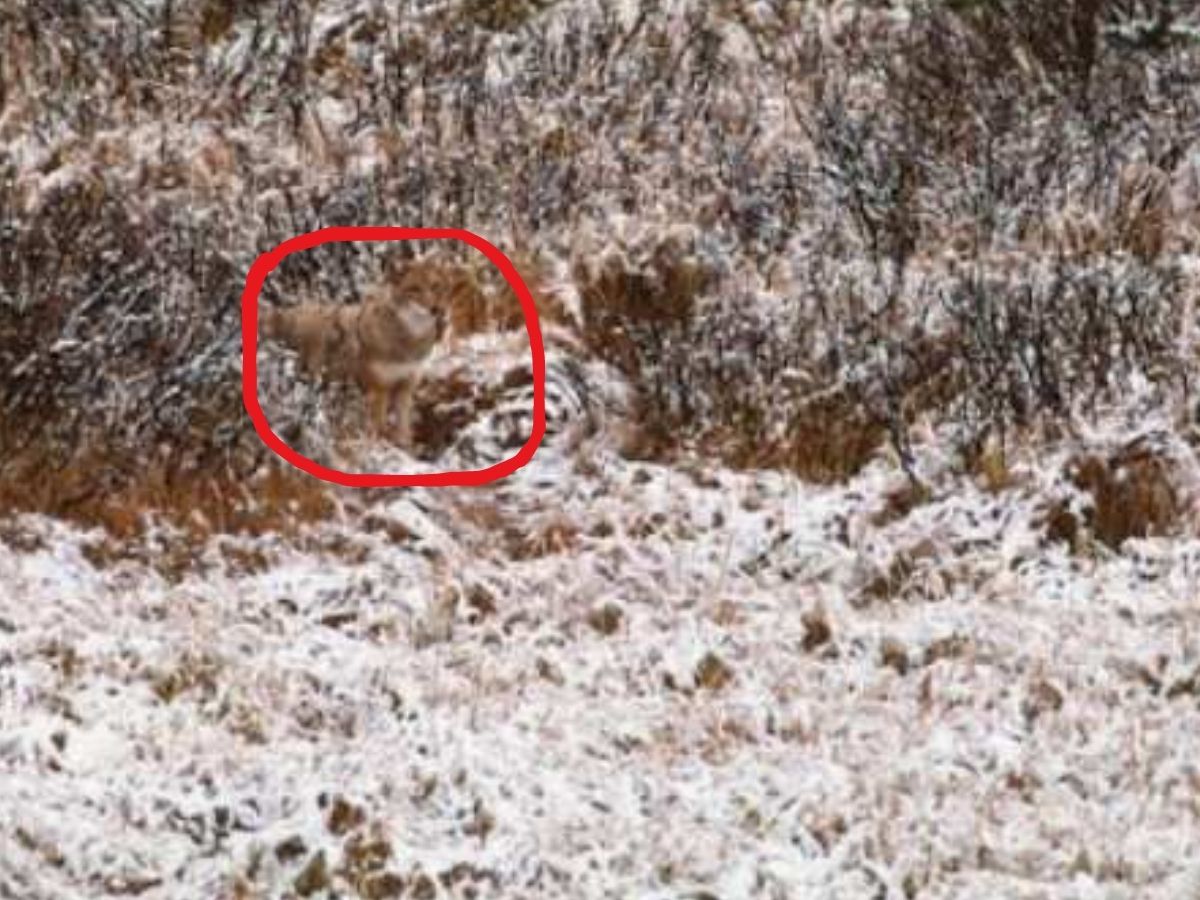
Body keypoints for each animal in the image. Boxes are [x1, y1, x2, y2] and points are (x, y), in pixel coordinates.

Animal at [260, 259, 449, 447]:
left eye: (435, 286)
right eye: (415, 289)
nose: (436, 309)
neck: (407, 344)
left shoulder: (405, 386)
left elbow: (403, 427)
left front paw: (403, 445)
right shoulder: (379, 389)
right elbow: (377, 426)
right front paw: (377, 446)